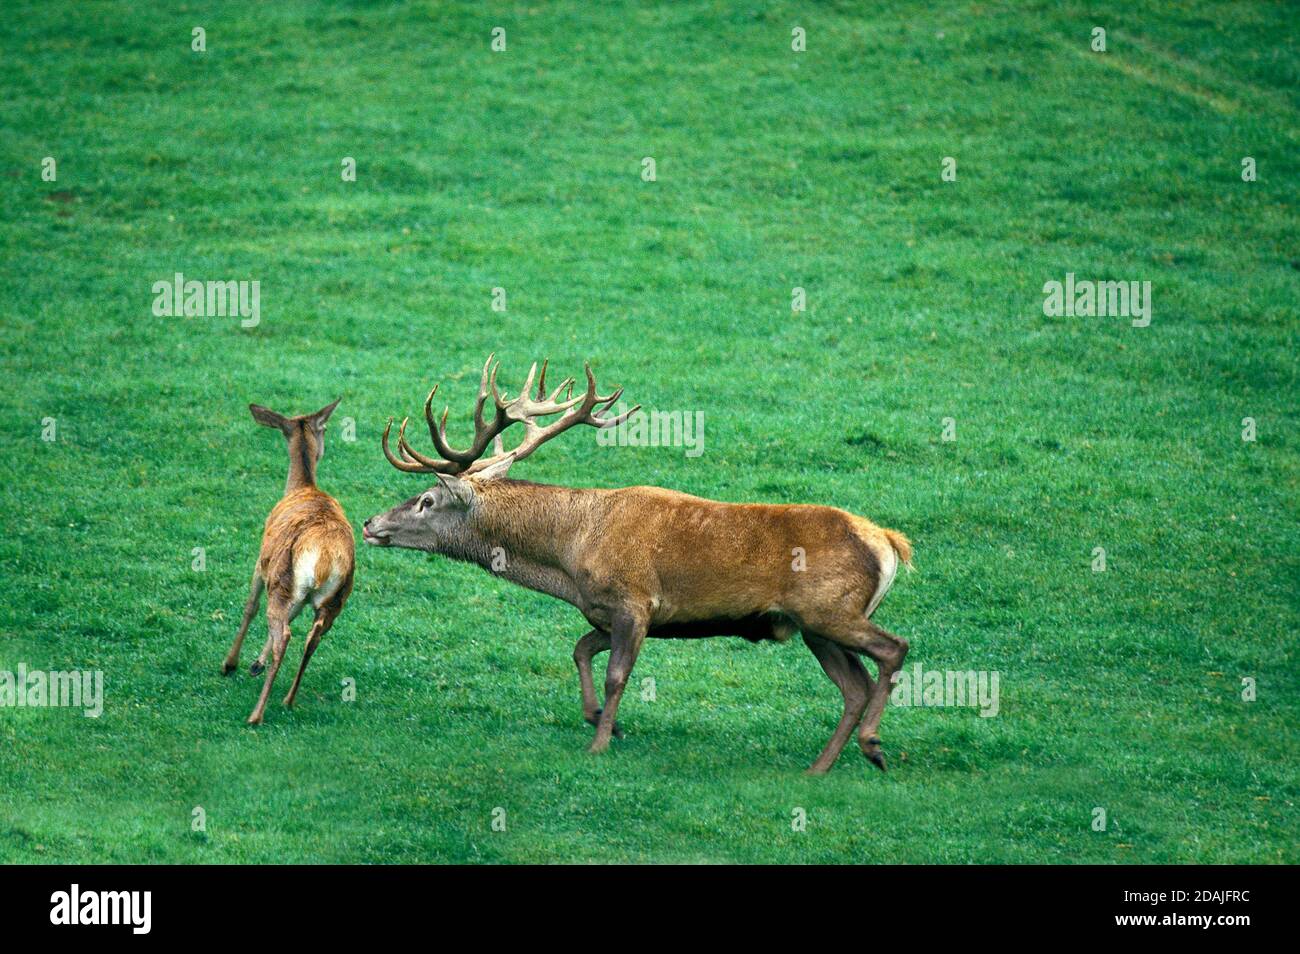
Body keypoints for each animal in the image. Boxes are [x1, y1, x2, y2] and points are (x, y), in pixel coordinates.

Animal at [221, 399, 355, 725]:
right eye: (324, 429)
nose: (323, 449)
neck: (300, 487)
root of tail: (326, 557)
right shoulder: (300, 596)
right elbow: (292, 616)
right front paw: (255, 664)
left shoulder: (261, 562)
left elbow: (250, 607)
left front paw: (231, 664)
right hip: (337, 595)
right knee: (312, 636)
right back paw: (288, 699)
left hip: (281, 577)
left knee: (284, 633)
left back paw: (256, 714)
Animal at [362, 357, 912, 774]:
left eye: (427, 501)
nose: (369, 522)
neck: (571, 553)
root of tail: (889, 543)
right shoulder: (605, 612)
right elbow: (581, 650)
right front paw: (599, 718)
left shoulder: (635, 603)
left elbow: (617, 675)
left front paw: (600, 742)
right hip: (813, 626)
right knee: (855, 685)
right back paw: (821, 766)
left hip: (828, 609)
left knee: (894, 649)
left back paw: (872, 745)